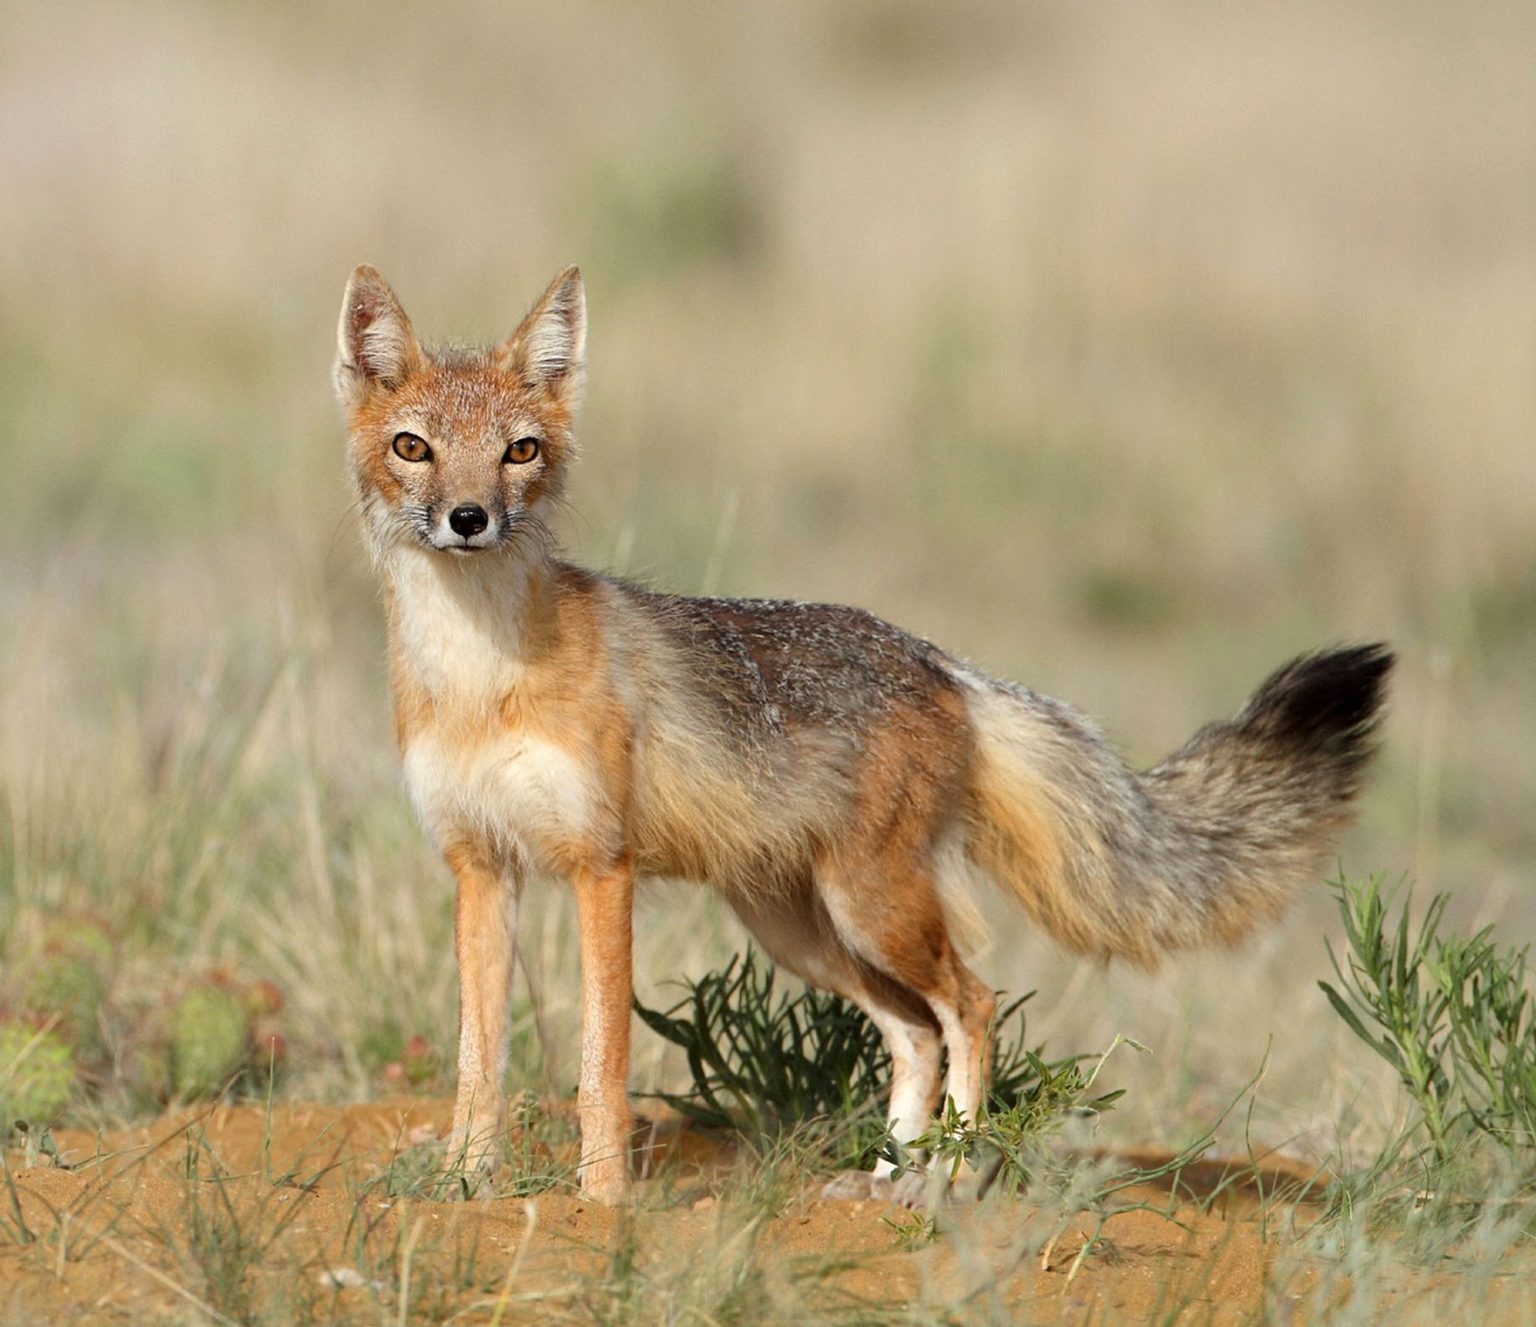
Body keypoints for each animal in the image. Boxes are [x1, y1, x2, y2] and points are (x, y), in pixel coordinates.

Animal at [334, 263, 1393, 1205]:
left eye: (518, 452)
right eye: (415, 447)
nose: (470, 517)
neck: (480, 679)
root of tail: (940, 661)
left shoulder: (603, 867)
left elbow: (601, 1066)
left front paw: (601, 1202)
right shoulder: (481, 867)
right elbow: (478, 1066)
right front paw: (465, 1183)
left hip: (870, 909)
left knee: (970, 1006)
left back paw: (946, 1179)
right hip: (804, 930)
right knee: (914, 1032)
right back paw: (887, 1178)